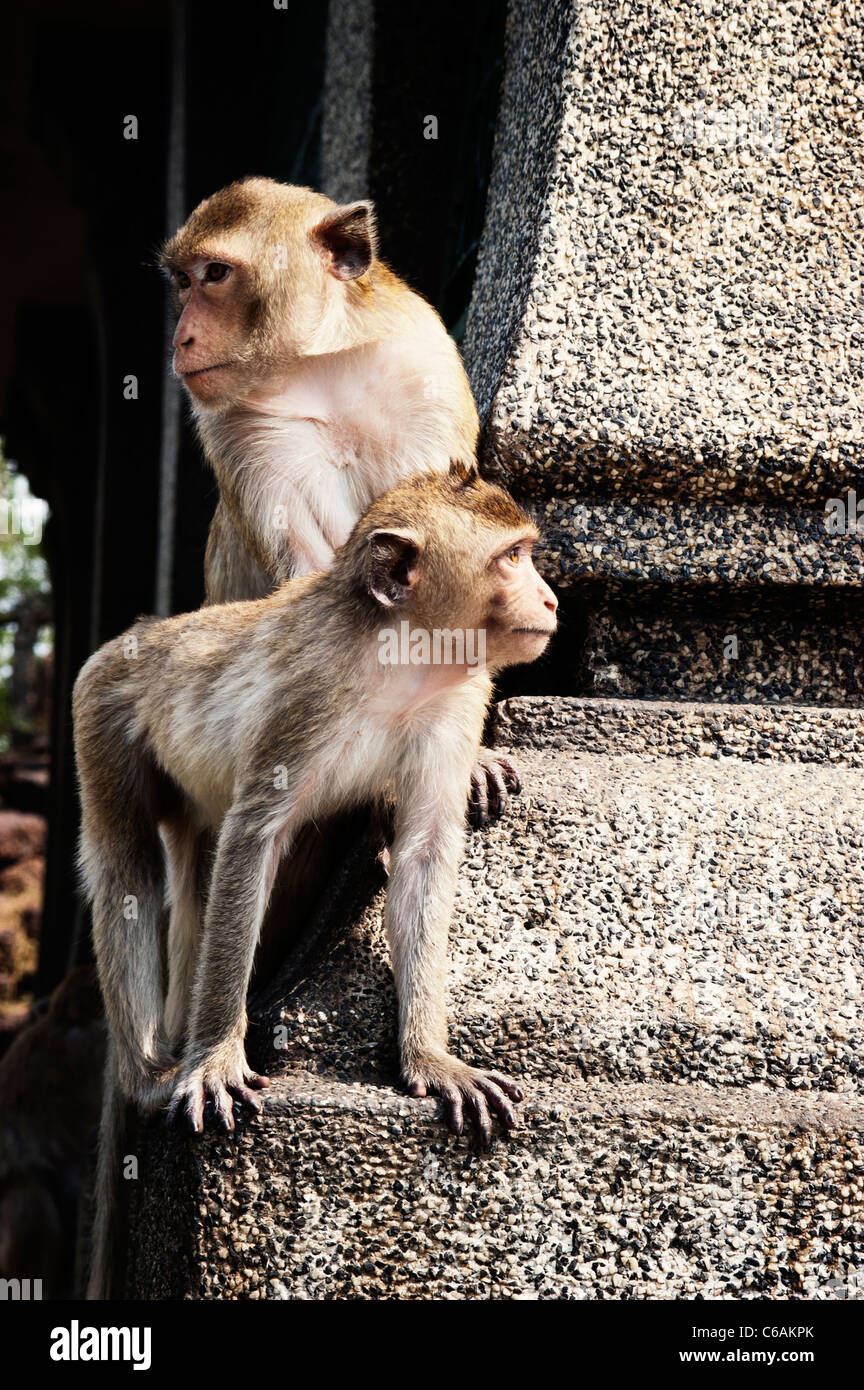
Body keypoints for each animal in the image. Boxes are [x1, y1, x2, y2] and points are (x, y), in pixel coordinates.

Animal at [75, 463, 557, 1296]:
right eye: (510, 559)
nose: (552, 598)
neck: (404, 658)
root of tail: (142, 633)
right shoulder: (310, 692)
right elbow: (255, 838)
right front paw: (218, 1056)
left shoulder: (458, 701)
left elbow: (424, 854)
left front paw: (431, 1058)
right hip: (100, 710)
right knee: (125, 866)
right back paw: (149, 1072)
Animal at [160, 177, 519, 823]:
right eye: (182, 280)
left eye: (215, 273)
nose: (182, 337)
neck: (316, 366)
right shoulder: (236, 428)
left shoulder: (421, 370)